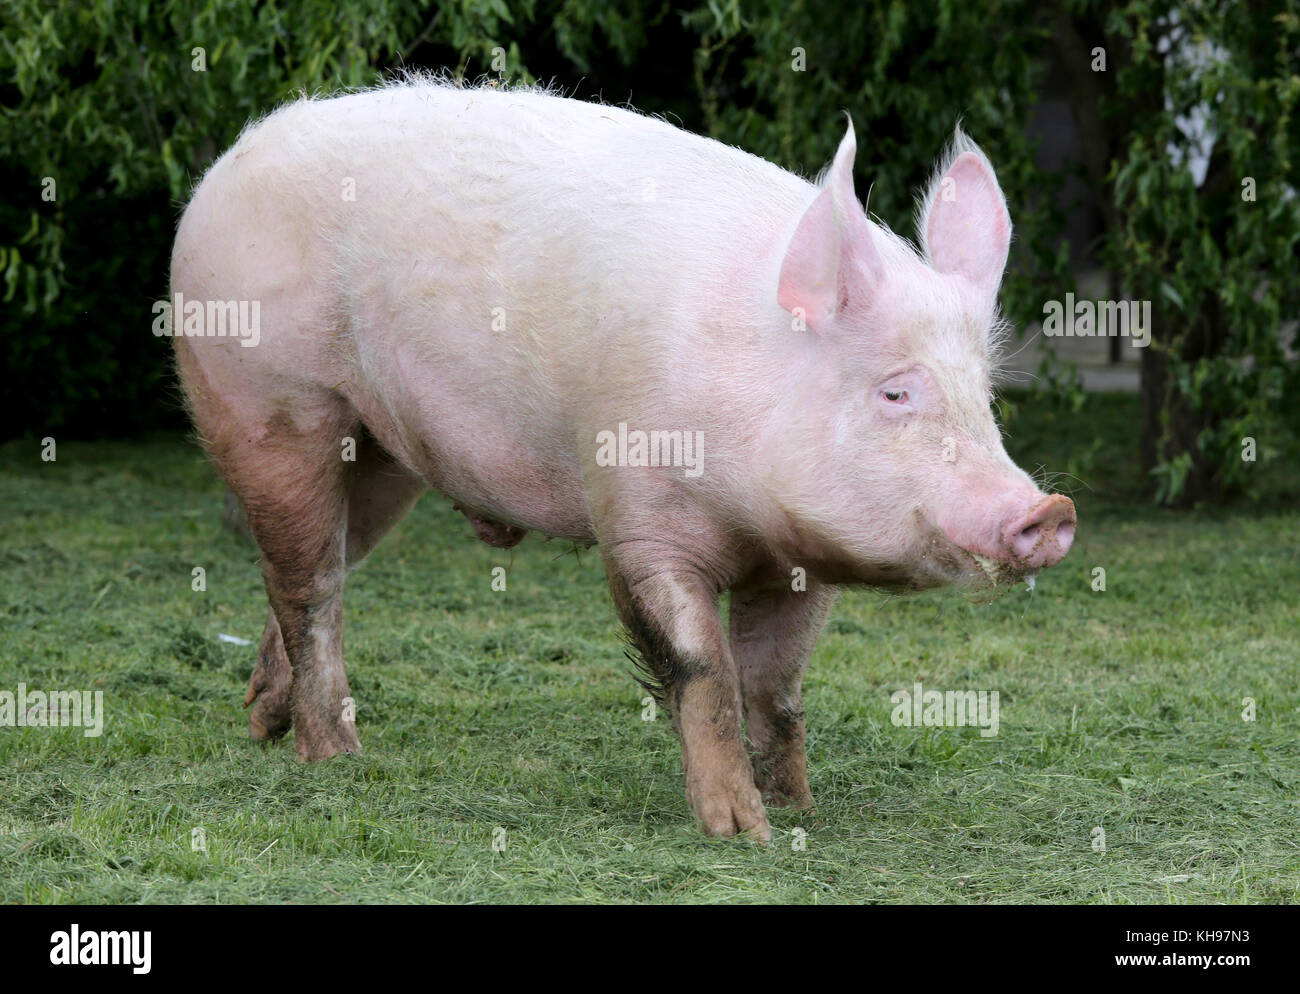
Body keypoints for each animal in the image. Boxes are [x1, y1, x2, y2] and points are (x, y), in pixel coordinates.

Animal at [170, 78, 1075, 842]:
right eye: (895, 392)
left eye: (984, 394)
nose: (1049, 511)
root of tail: (227, 163)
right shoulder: (635, 508)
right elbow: (701, 666)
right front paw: (742, 832)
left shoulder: (802, 561)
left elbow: (776, 688)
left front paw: (799, 808)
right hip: (269, 403)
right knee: (308, 583)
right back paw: (335, 757)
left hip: (383, 449)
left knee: (318, 566)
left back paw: (265, 722)